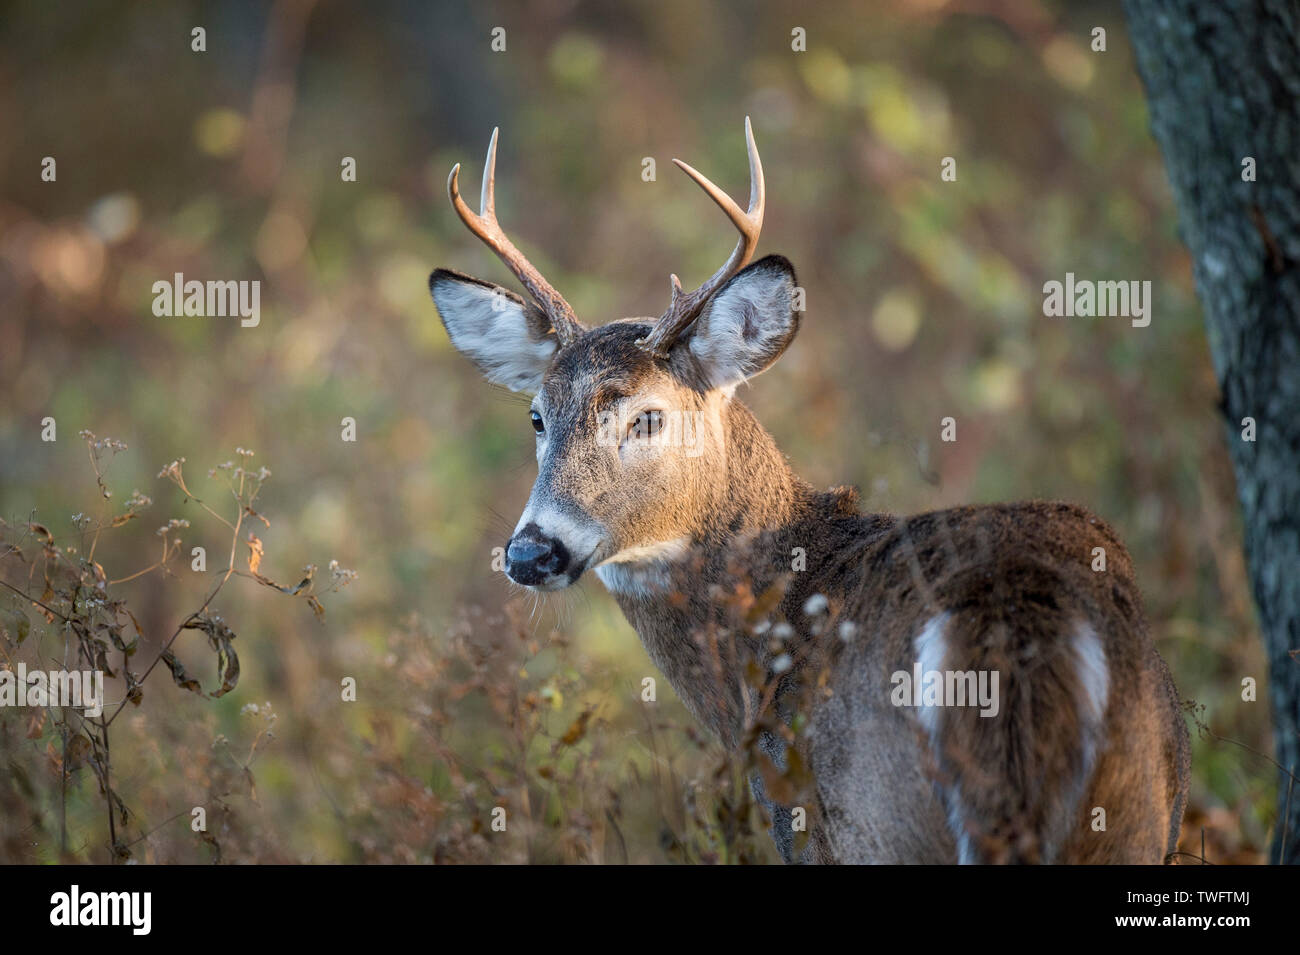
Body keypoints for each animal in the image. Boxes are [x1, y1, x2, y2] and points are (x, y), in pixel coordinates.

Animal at [428, 119, 1191, 864]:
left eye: (646, 415)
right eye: (536, 416)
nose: (531, 553)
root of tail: (1012, 616)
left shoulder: (793, 813)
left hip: (884, 819)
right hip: (1137, 815)